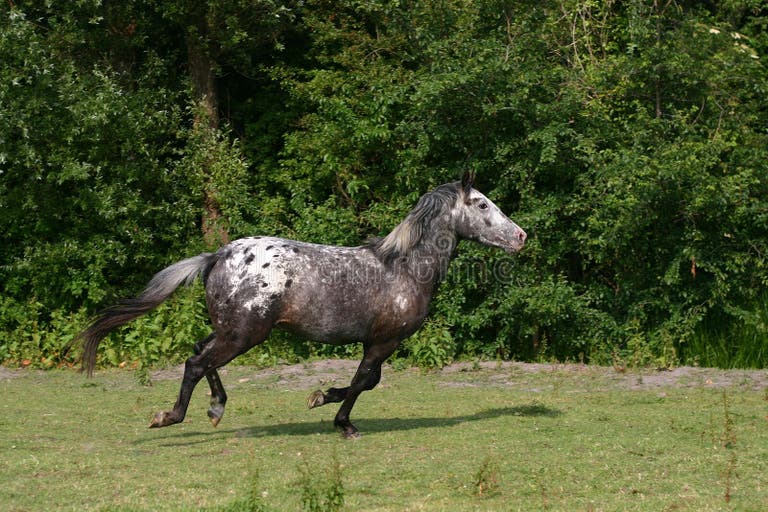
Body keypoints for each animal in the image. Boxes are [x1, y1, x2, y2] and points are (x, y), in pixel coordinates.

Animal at [76, 171, 526, 438]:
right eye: (483, 204)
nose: (521, 236)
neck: (403, 269)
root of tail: (217, 256)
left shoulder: (376, 342)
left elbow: (368, 381)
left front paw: (326, 401)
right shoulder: (384, 341)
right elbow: (363, 382)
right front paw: (336, 415)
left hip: (229, 330)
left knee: (201, 355)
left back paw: (216, 409)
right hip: (243, 334)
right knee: (196, 363)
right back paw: (171, 416)